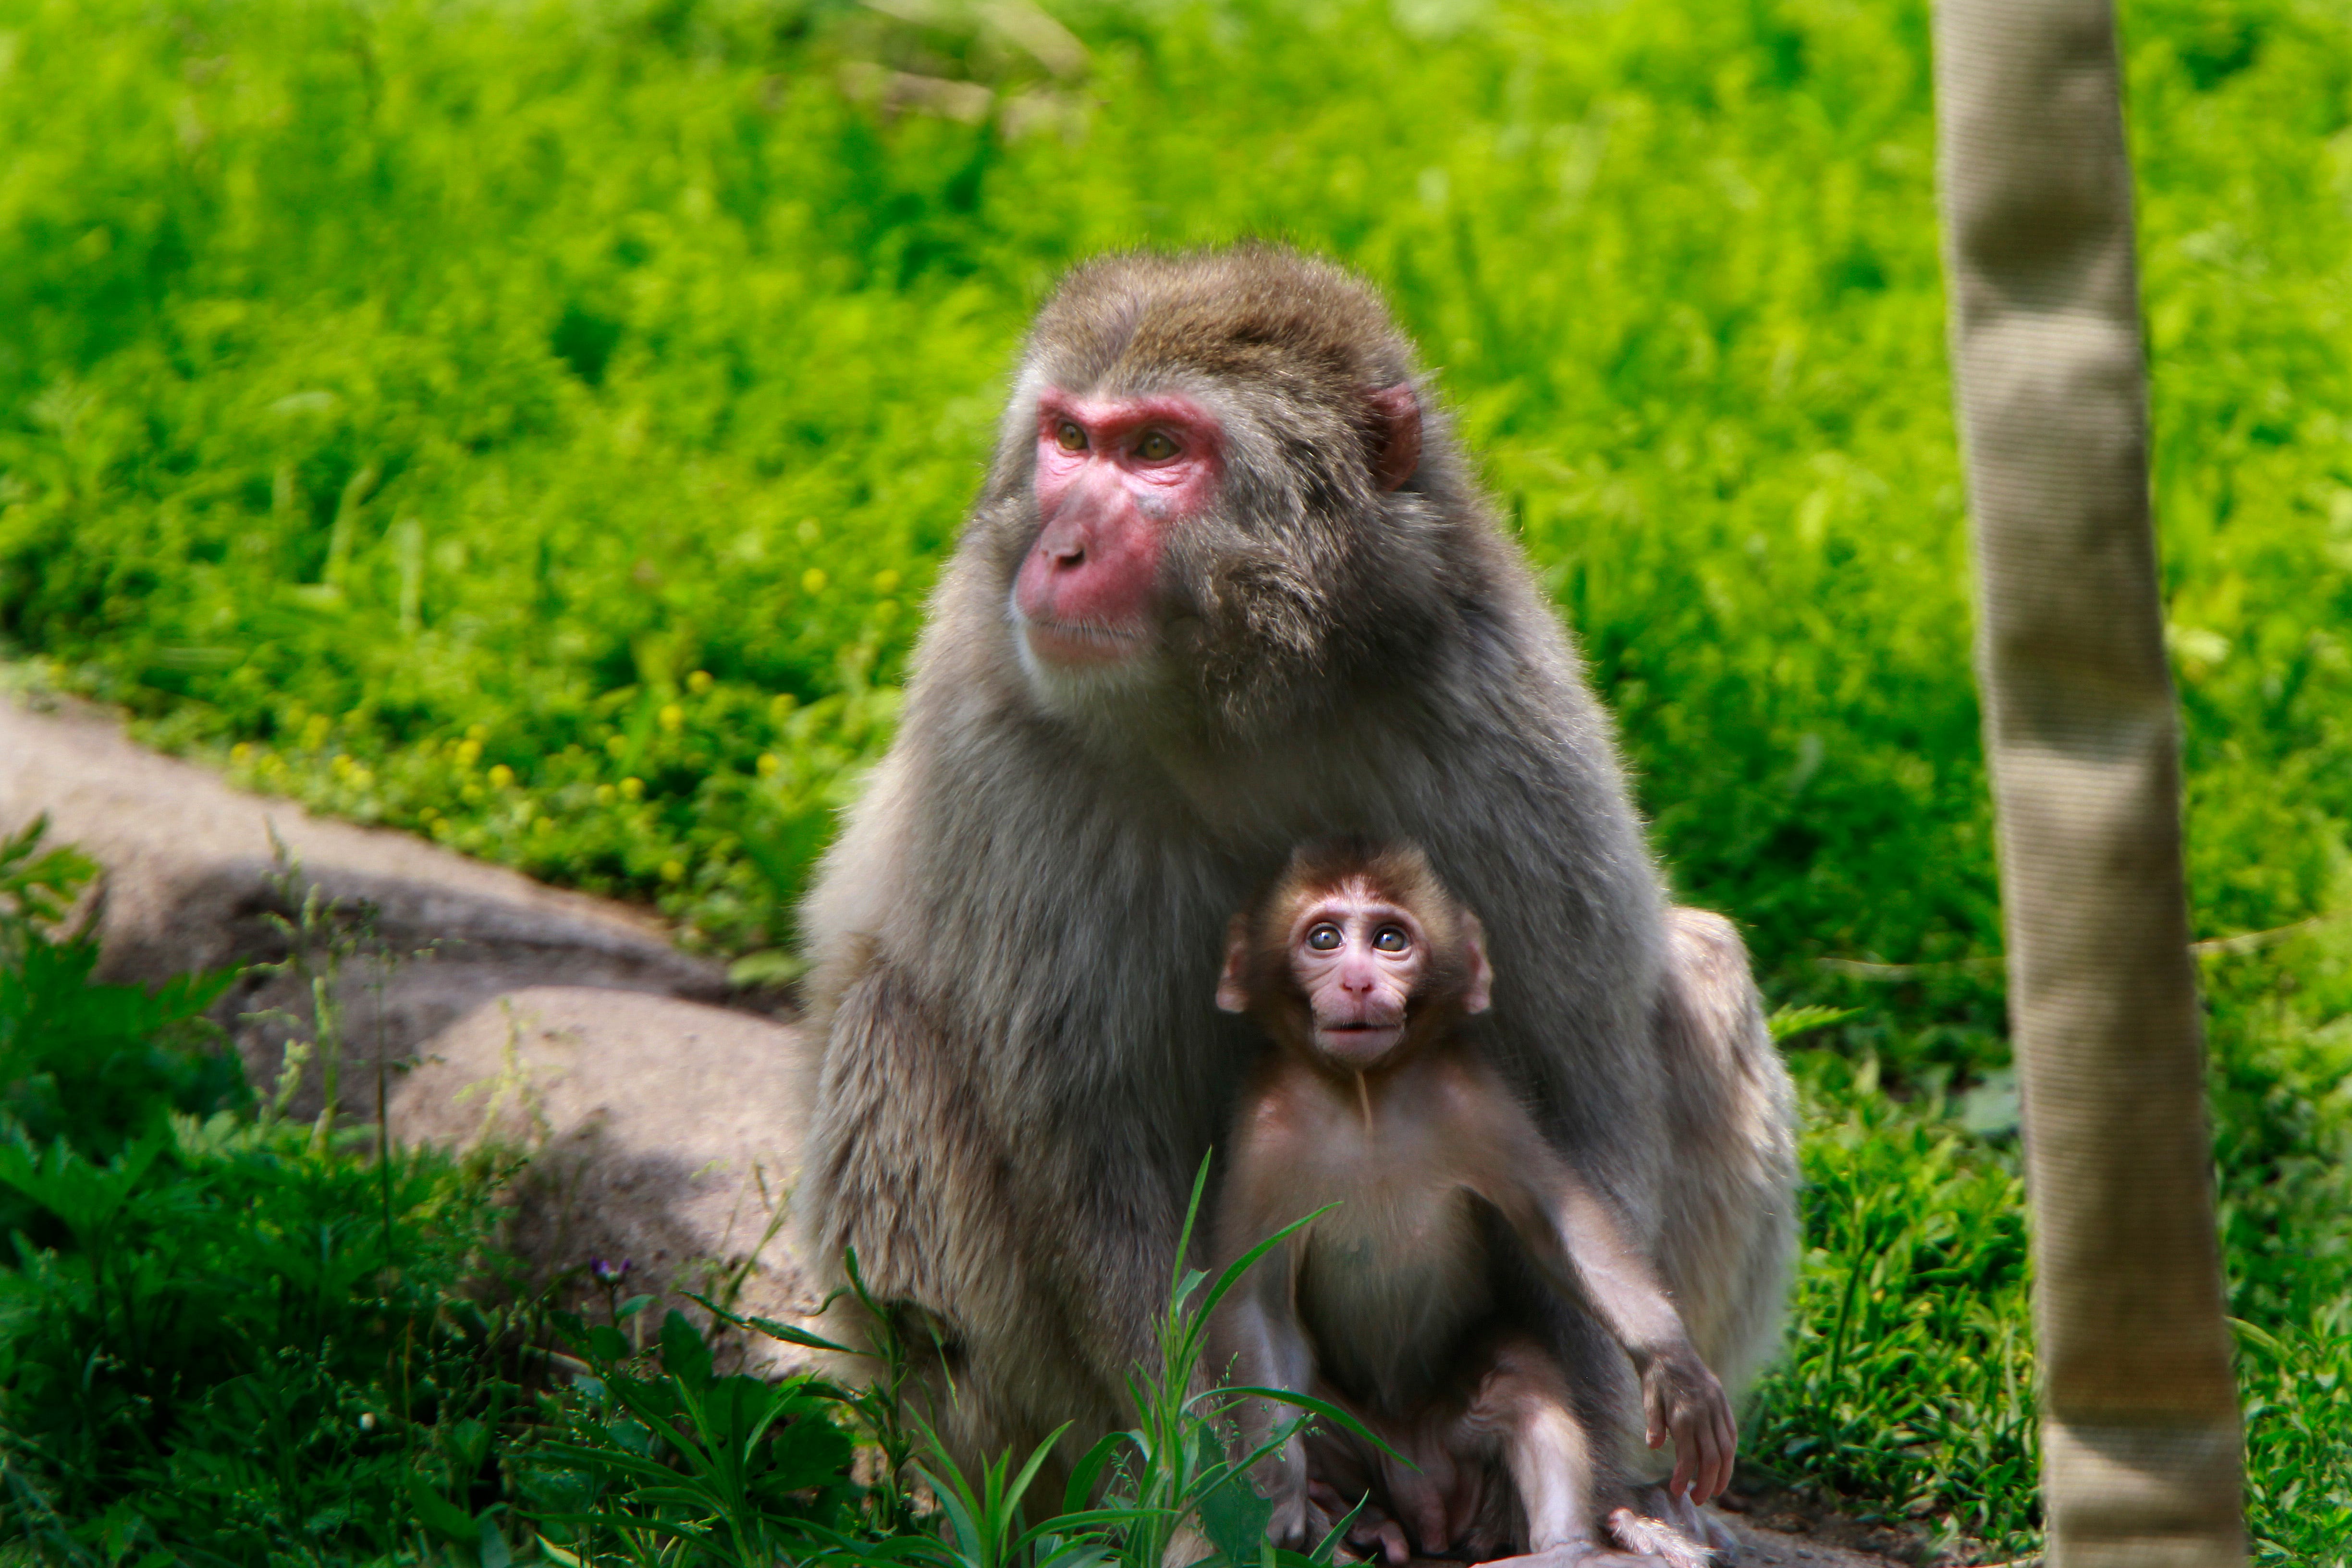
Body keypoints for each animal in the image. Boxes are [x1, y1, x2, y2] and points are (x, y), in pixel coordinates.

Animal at [1210, 839, 1729, 1568]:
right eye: (1324, 939)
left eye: (1390, 940)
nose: (1359, 983)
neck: (1364, 1098)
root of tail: (1424, 1493)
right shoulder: (1265, 1134)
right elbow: (1253, 1299)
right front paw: (1279, 1497)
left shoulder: (1472, 1096)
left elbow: (1559, 1222)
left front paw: (1674, 1368)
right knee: (1312, 1406)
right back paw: (1355, 1523)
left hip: (1455, 1433)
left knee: (1517, 1373)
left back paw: (1563, 1547)